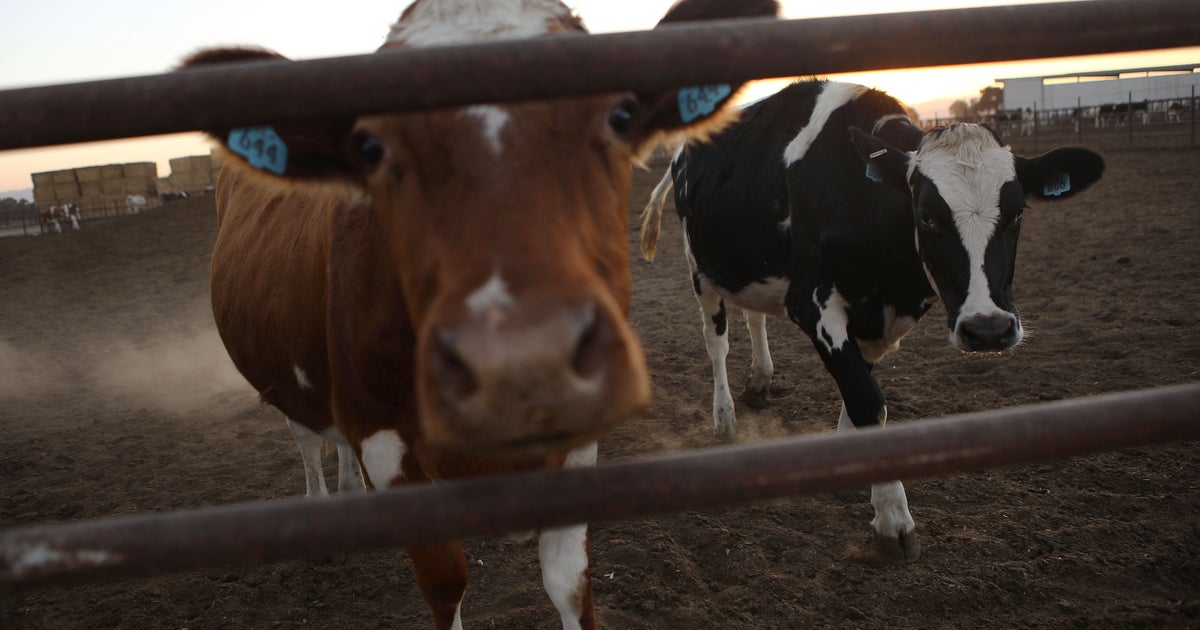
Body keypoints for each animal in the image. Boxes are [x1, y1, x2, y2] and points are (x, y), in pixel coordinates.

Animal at [182, 0, 779, 627]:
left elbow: (570, 584)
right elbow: (445, 580)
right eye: (372, 148)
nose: (522, 365)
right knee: (303, 435)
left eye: (620, 116)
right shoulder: (382, 436)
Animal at [639, 79, 1104, 562]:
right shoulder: (812, 302)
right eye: (926, 215)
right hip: (700, 268)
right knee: (716, 342)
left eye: (1017, 213)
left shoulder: (887, 314)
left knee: (754, 318)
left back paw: (760, 381)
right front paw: (893, 519)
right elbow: (867, 398)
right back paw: (725, 417)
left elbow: (862, 384)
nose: (988, 328)